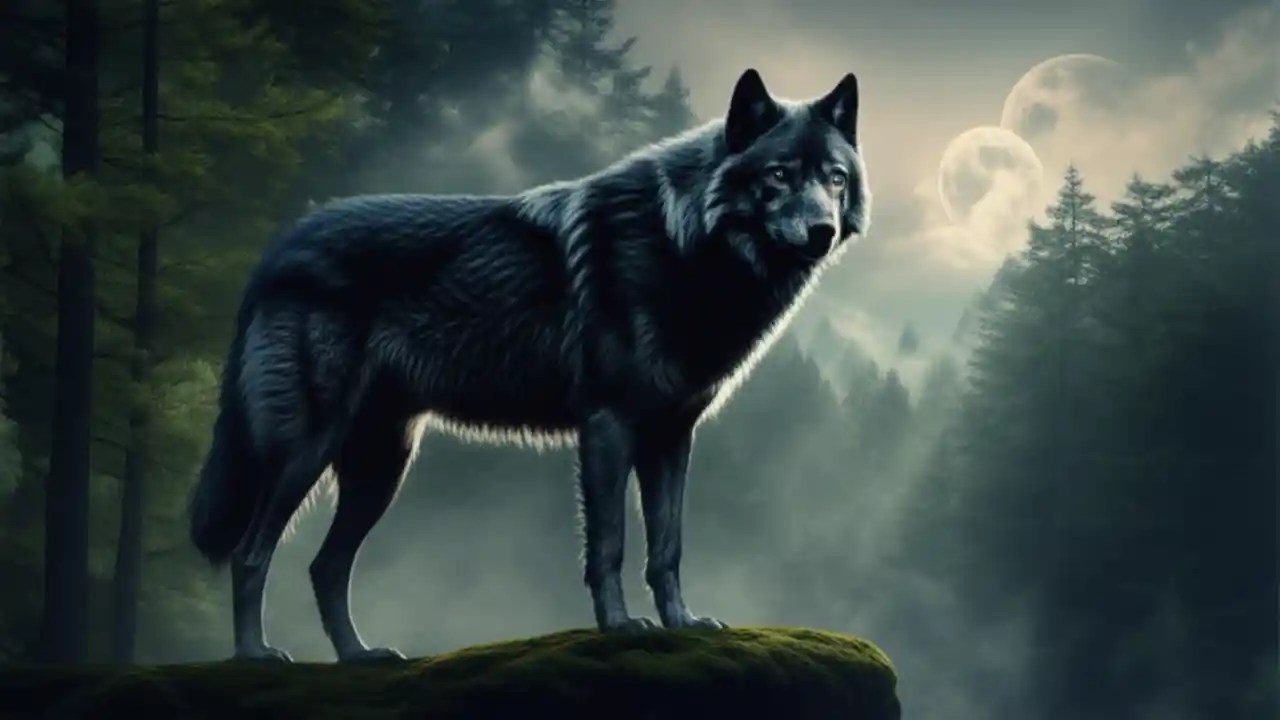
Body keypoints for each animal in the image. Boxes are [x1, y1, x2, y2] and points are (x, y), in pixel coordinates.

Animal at [189, 68, 871, 662]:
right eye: (779, 175)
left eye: (835, 179)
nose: (821, 229)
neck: (684, 244)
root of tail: (277, 247)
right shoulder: (608, 426)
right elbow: (610, 545)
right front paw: (621, 626)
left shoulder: (671, 437)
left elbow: (667, 547)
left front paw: (682, 623)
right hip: (305, 451)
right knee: (251, 553)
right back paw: (254, 656)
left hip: (382, 467)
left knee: (325, 567)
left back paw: (360, 656)